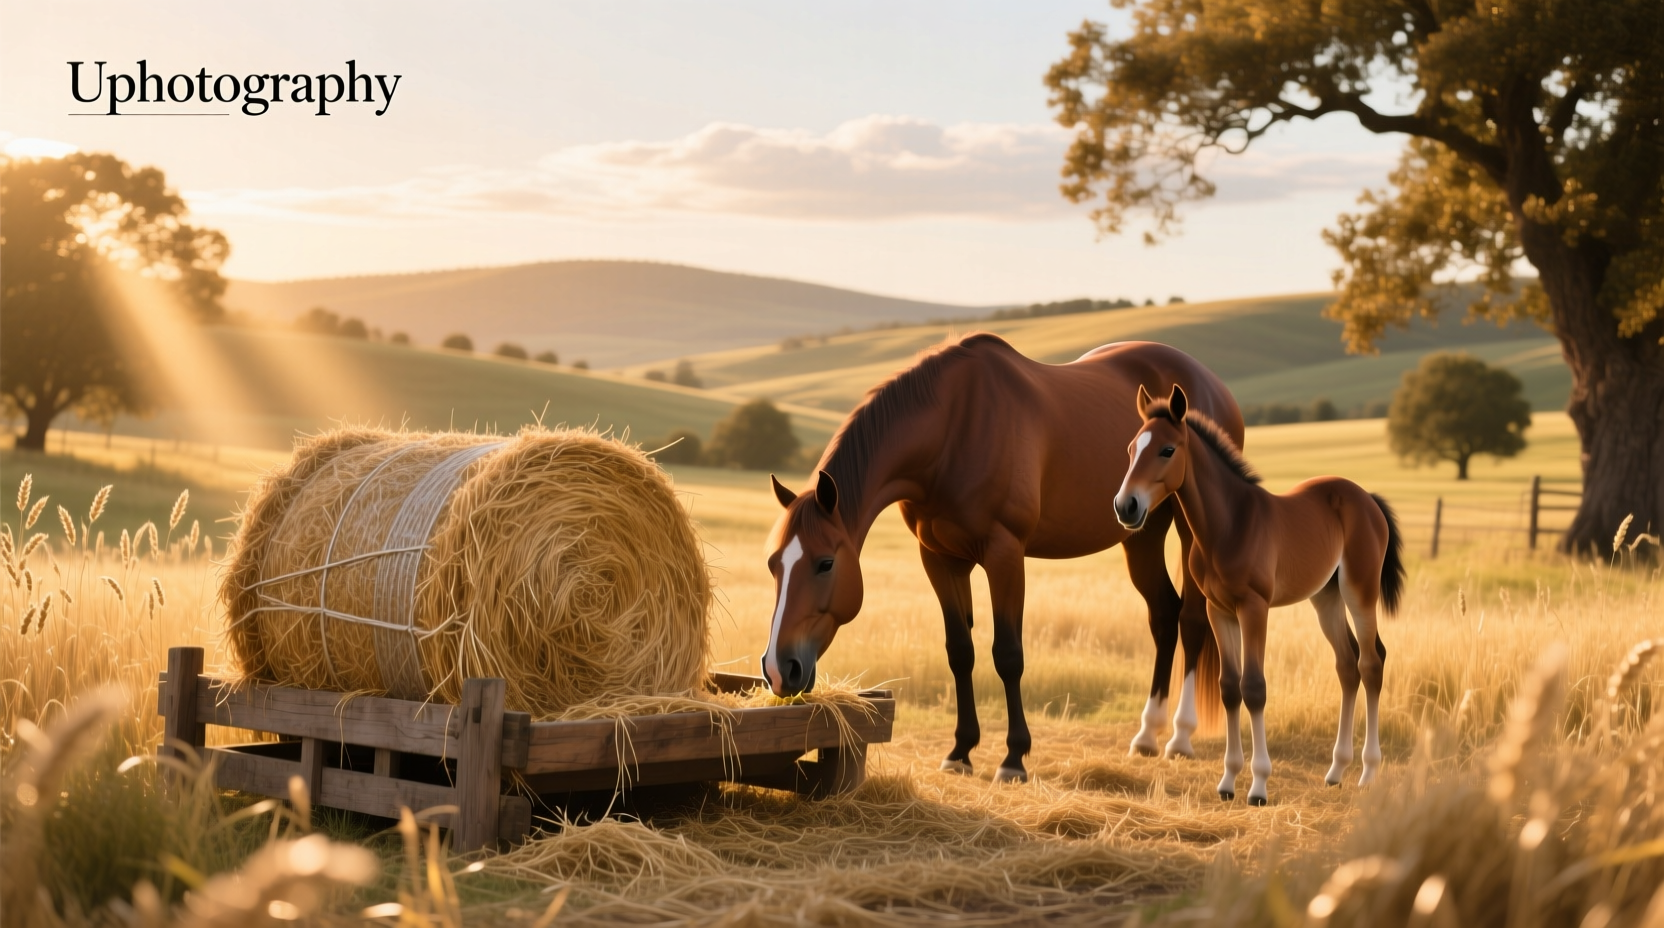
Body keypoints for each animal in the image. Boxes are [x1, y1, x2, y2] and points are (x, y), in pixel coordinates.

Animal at [760, 333, 1244, 783]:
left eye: (825, 563)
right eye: (773, 564)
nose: (779, 670)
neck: (953, 430)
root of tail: (1212, 385)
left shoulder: (1005, 553)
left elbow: (1008, 654)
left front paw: (1014, 758)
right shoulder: (939, 558)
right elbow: (960, 652)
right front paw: (960, 751)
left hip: (1191, 531)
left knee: (1191, 621)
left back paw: (1179, 737)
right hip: (1140, 530)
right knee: (1163, 614)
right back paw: (1146, 734)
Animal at [1113, 383, 1405, 805]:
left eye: (1167, 450)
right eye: (1132, 448)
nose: (1126, 506)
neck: (1229, 524)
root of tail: (1367, 498)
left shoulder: (1254, 608)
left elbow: (1254, 688)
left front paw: (1259, 786)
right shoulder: (1219, 611)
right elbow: (1229, 688)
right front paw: (1227, 782)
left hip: (1359, 591)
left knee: (1371, 662)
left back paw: (1368, 774)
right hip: (1326, 598)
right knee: (1347, 665)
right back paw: (1336, 771)